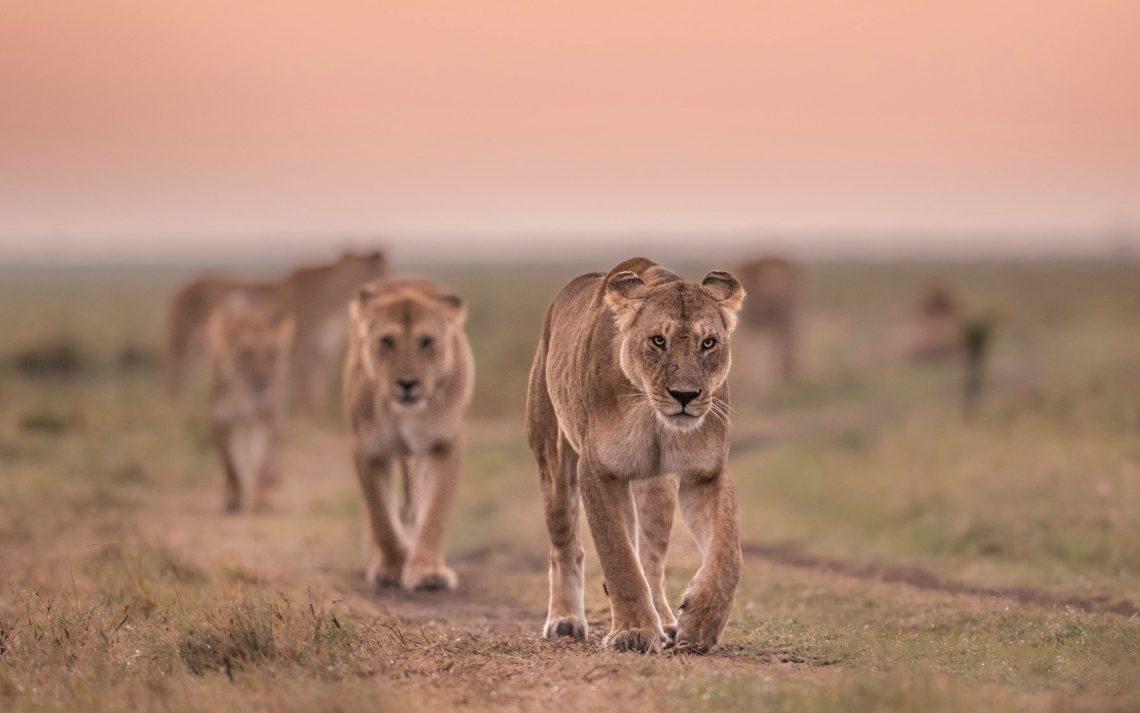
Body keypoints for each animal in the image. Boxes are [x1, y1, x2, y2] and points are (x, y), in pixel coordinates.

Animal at [166, 250, 388, 415]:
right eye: (380, 271)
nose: (389, 287)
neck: (336, 304)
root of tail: (182, 287)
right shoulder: (302, 352)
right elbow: (307, 396)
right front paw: (308, 424)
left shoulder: (322, 356)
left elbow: (318, 395)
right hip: (181, 347)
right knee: (174, 386)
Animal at [206, 295, 295, 512]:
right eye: (245, 354)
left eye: (272, 353)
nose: (262, 382)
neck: (244, 394)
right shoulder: (220, 419)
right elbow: (230, 465)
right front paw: (233, 501)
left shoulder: (267, 418)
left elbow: (261, 463)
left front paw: (260, 500)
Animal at [343, 278, 474, 591]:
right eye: (387, 341)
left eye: (426, 341)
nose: (407, 383)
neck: (406, 414)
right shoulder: (369, 450)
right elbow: (382, 518)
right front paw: (393, 565)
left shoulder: (442, 446)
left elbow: (434, 513)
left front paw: (427, 571)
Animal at [526, 257, 746, 654]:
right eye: (658, 340)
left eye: (708, 343)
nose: (685, 395)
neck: (651, 414)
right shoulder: (598, 472)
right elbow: (618, 556)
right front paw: (633, 632)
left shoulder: (705, 474)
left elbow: (727, 554)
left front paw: (699, 626)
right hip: (554, 462)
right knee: (566, 547)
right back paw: (566, 620)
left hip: (657, 488)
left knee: (651, 560)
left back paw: (666, 622)